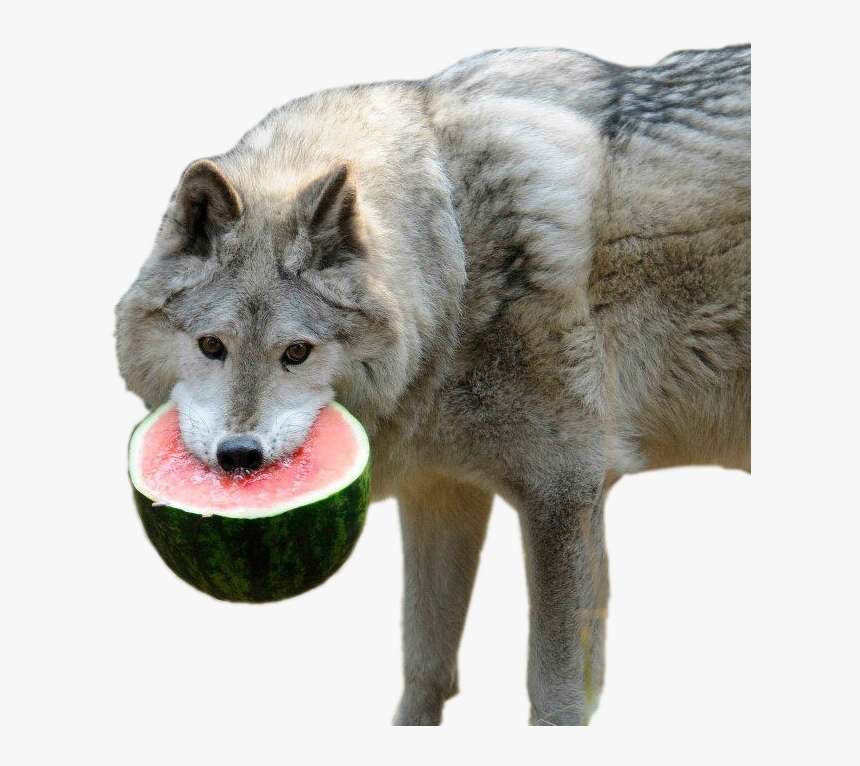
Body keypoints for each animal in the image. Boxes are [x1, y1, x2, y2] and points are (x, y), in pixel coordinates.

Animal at [116, 44, 750, 725]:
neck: (456, 260)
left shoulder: (563, 493)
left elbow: (554, 692)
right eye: (212, 345)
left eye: (297, 352)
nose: (239, 458)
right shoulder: (441, 490)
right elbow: (425, 666)